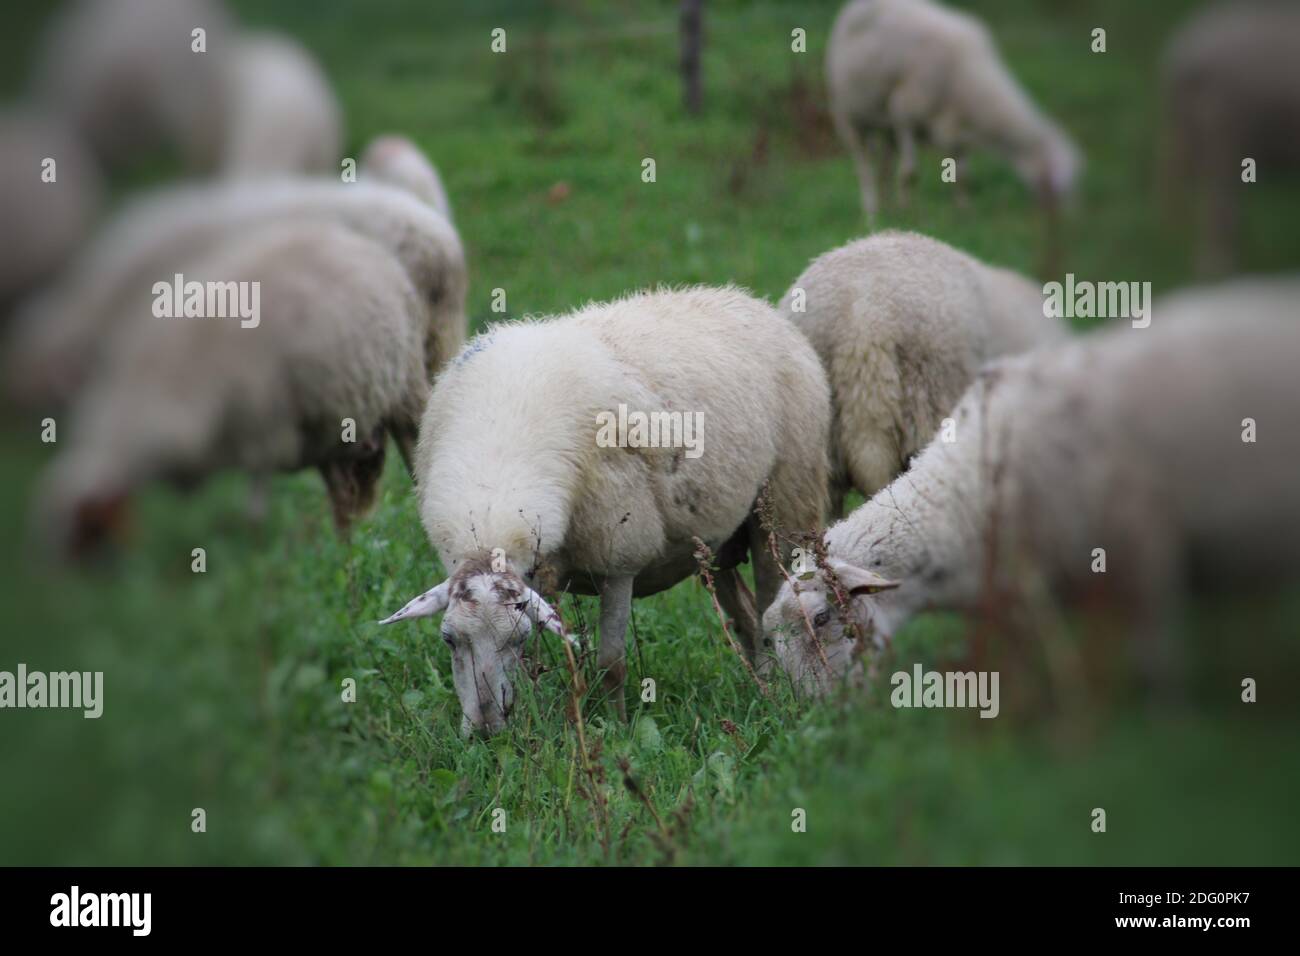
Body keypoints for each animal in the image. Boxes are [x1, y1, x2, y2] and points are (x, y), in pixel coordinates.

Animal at [37, 219, 433, 555]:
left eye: (87, 527)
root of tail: (354, 240)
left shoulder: (261, 431)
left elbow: (254, 509)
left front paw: (256, 558)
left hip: (404, 386)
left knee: (412, 448)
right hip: (334, 425)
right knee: (343, 496)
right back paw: (346, 553)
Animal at [376, 286, 831, 735]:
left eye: (516, 638)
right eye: (449, 639)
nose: (486, 733)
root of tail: (744, 298)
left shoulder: (619, 555)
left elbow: (611, 663)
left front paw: (618, 731)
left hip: (786, 507)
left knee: (771, 606)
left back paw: (776, 691)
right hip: (713, 540)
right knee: (746, 614)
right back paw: (759, 685)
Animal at [826, 0, 1081, 224]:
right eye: (1061, 185)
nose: (1070, 221)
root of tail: (851, 8)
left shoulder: (958, 128)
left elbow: (963, 177)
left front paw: (965, 214)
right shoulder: (905, 114)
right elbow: (910, 173)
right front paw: (911, 216)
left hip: (885, 120)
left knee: (886, 164)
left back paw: (889, 209)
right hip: (851, 114)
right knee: (864, 163)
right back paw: (872, 213)